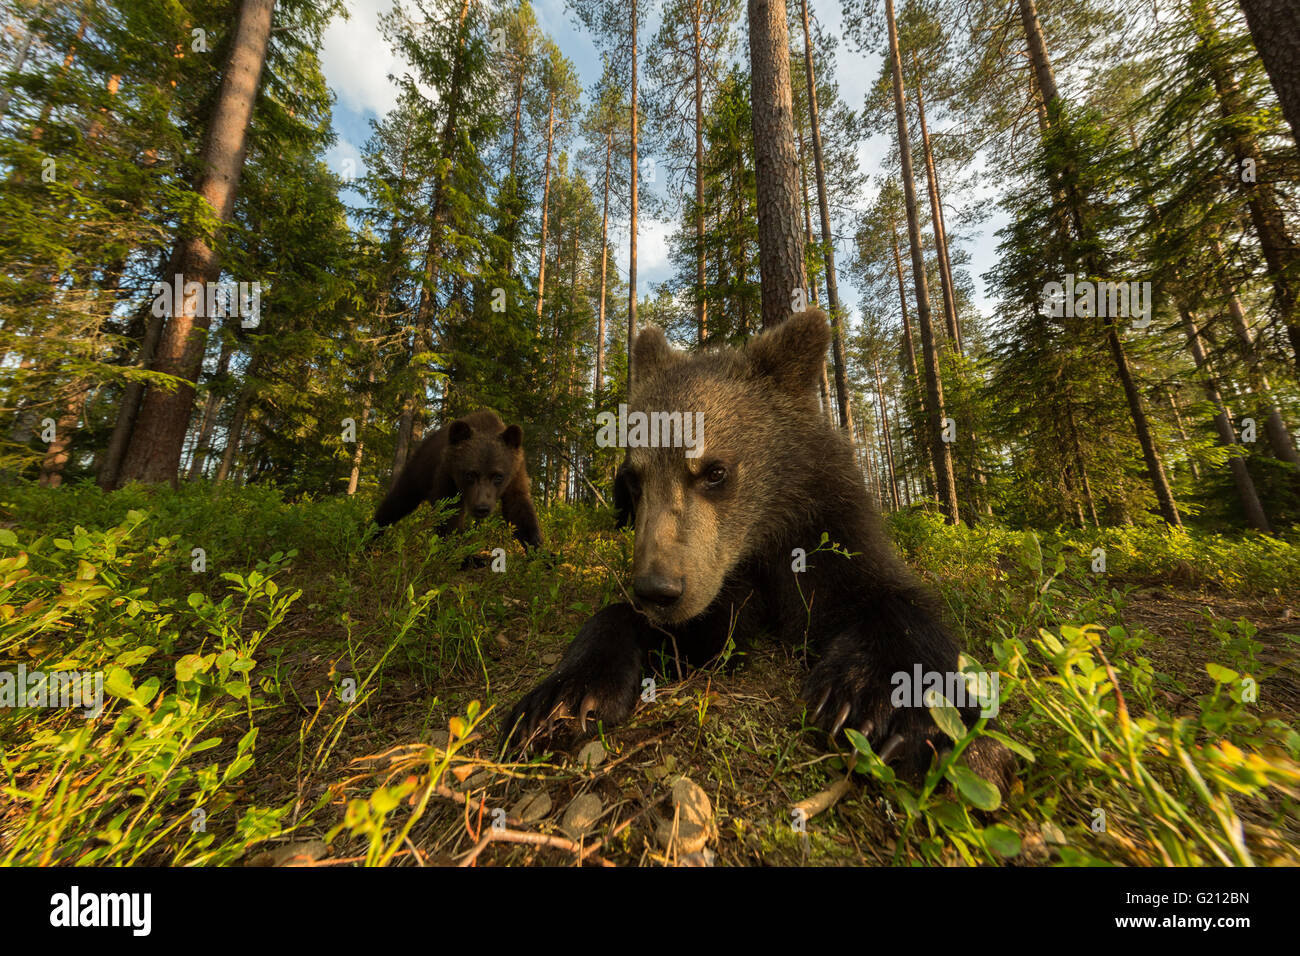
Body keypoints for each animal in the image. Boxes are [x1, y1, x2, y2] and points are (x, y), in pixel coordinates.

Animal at [373, 408, 544, 551]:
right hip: (420, 469)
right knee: (399, 500)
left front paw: (540, 550)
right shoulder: (448, 474)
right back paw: (372, 533)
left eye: (498, 476)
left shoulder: (516, 474)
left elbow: (518, 508)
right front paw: (463, 554)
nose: (482, 508)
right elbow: (448, 510)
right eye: (469, 474)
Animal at [503, 311, 1013, 792]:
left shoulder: (824, 529)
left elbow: (883, 598)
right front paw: (560, 701)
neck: (757, 539)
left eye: (714, 471)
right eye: (635, 478)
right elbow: (694, 637)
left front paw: (890, 708)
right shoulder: (715, 577)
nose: (658, 590)